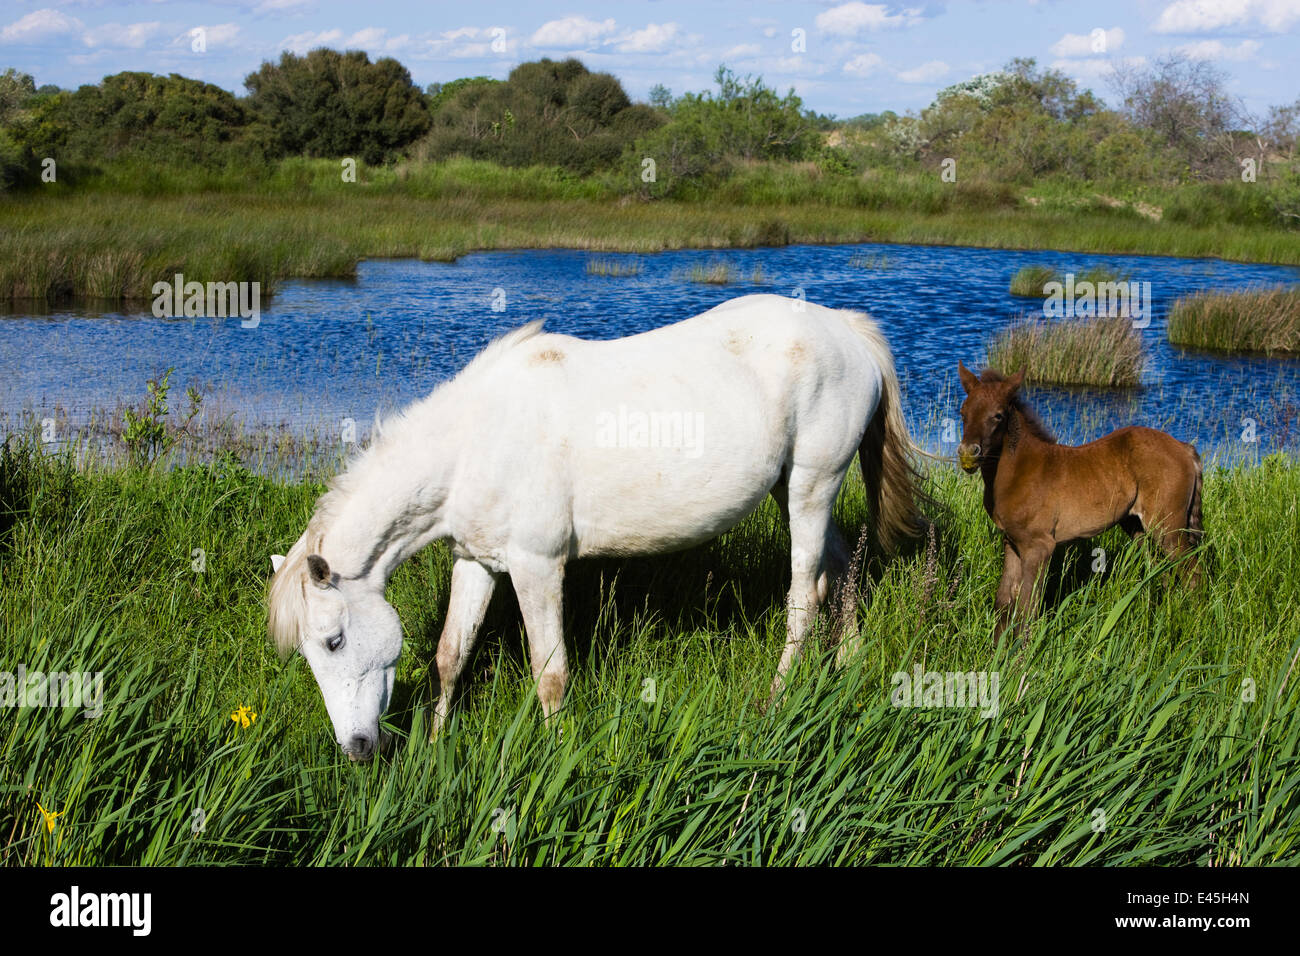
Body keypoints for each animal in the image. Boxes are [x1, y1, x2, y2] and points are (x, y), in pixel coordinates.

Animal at [267, 294, 925, 760]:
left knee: (804, 597)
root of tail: (847, 329)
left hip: (812, 485)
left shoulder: (537, 566)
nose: (356, 750)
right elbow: (450, 656)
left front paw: (558, 761)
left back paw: (774, 704)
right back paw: (850, 668)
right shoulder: (477, 562)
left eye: (333, 640)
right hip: (802, 490)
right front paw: (434, 750)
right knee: (840, 569)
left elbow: (550, 674)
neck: (475, 440)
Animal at [955, 362, 1203, 642]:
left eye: (998, 416)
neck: (1018, 471)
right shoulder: (1011, 541)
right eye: (963, 412)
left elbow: (1028, 606)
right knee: (1162, 569)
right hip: (1136, 525)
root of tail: (1184, 448)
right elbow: (1004, 601)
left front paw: (1024, 650)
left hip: (1168, 524)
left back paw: (1194, 623)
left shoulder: (1039, 546)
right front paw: (997, 648)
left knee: (1191, 570)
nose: (968, 452)